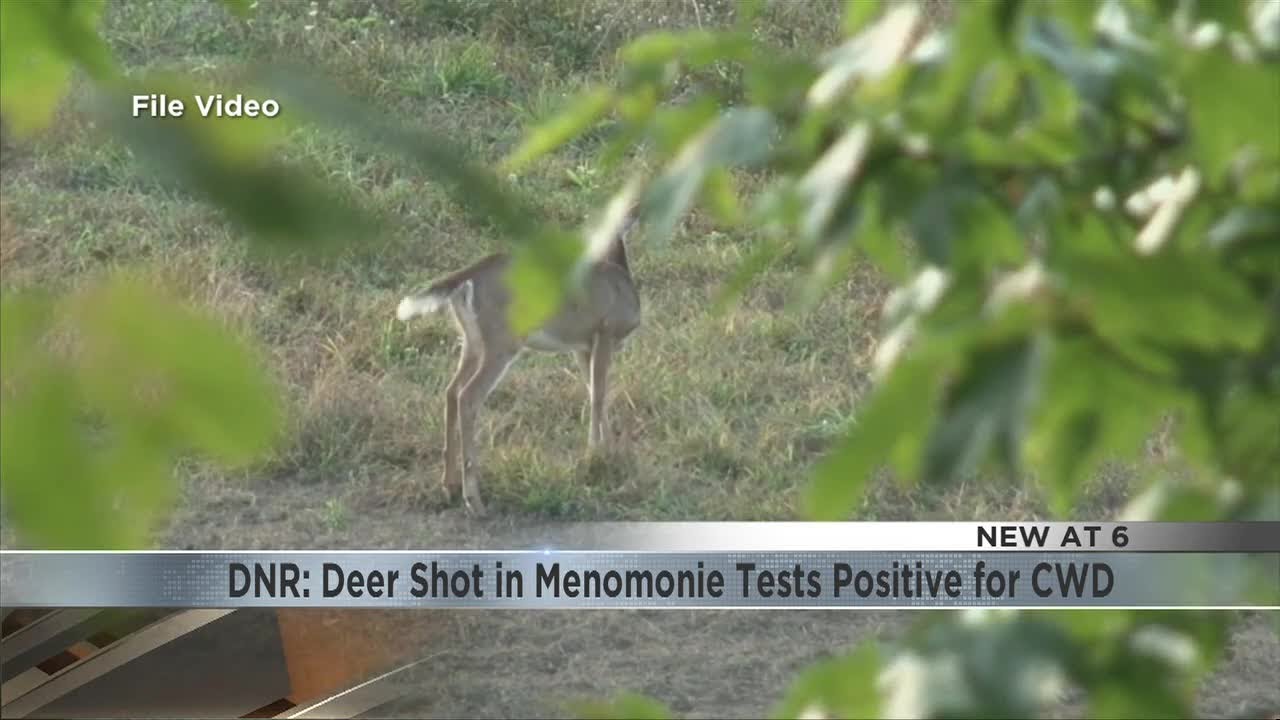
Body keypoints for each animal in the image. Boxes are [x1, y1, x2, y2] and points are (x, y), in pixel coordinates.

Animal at [394, 193, 642, 515]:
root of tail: (467, 278)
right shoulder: (605, 332)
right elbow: (599, 394)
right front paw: (597, 456)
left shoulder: (581, 345)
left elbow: (594, 391)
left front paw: (605, 452)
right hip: (502, 341)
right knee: (468, 396)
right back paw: (474, 500)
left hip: (472, 340)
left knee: (450, 391)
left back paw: (448, 485)